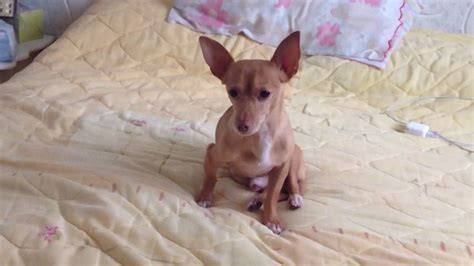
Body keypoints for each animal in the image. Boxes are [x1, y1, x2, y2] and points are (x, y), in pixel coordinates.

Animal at [197, 31, 308, 235]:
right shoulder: (212, 153)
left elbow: (273, 195)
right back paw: (257, 201)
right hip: (250, 181)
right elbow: (210, 178)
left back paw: (294, 198)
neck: (260, 135)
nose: (241, 126)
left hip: (292, 163)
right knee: (274, 191)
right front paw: (205, 198)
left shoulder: (281, 168)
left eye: (265, 93)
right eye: (232, 92)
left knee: (292, 187)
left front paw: (272, 219)